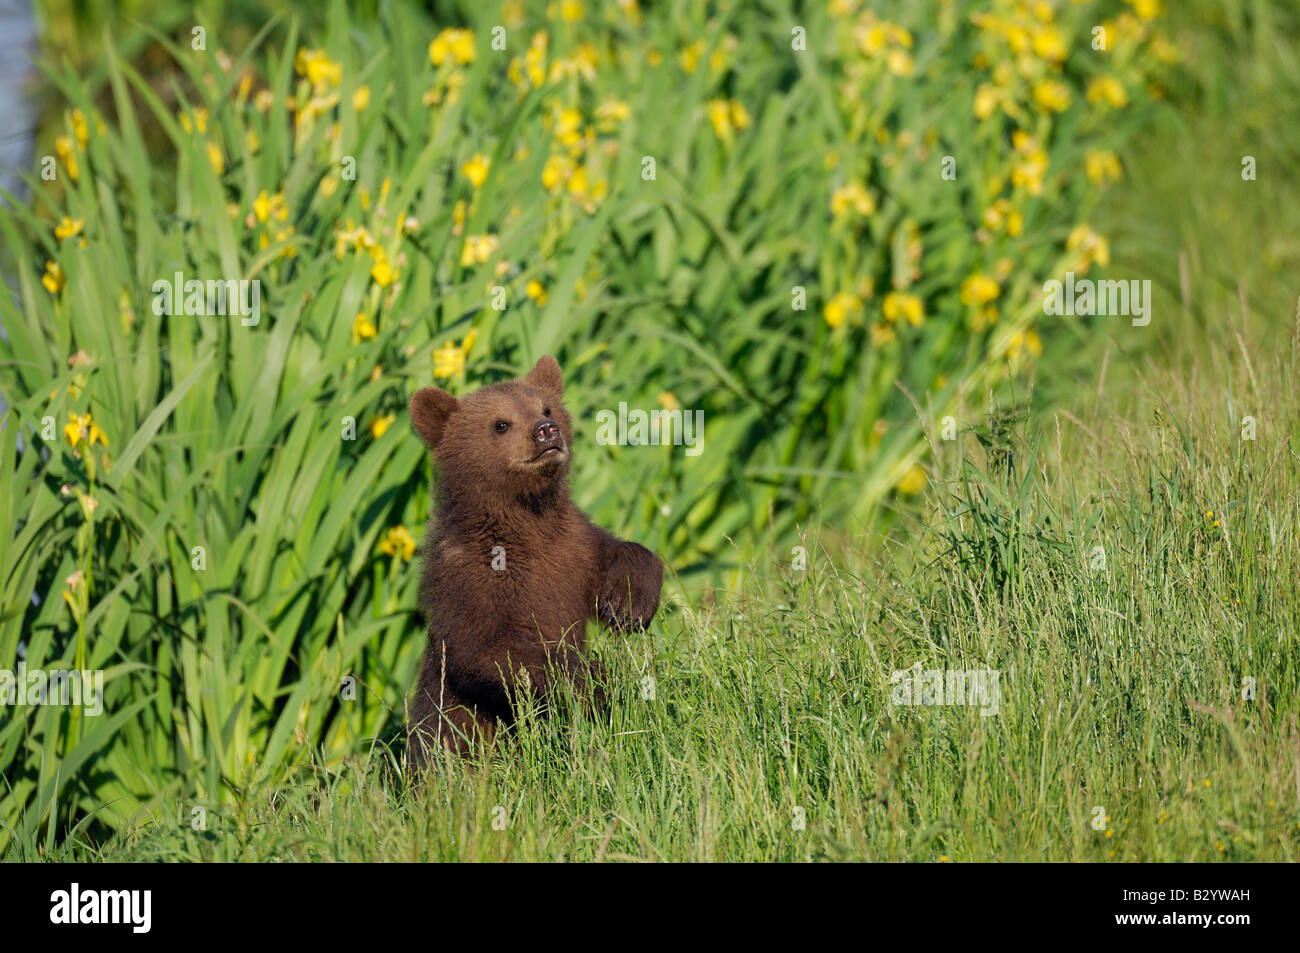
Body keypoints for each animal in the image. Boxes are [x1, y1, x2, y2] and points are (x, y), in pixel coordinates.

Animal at [405, 354, 663, 771]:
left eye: (546, 408)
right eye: (500, 423)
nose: (546, 431)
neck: (525, 517)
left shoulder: (572, 546)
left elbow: (617, 554)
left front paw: (627, 605)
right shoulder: (469, 578)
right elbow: (485, 650)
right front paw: (590, 678)